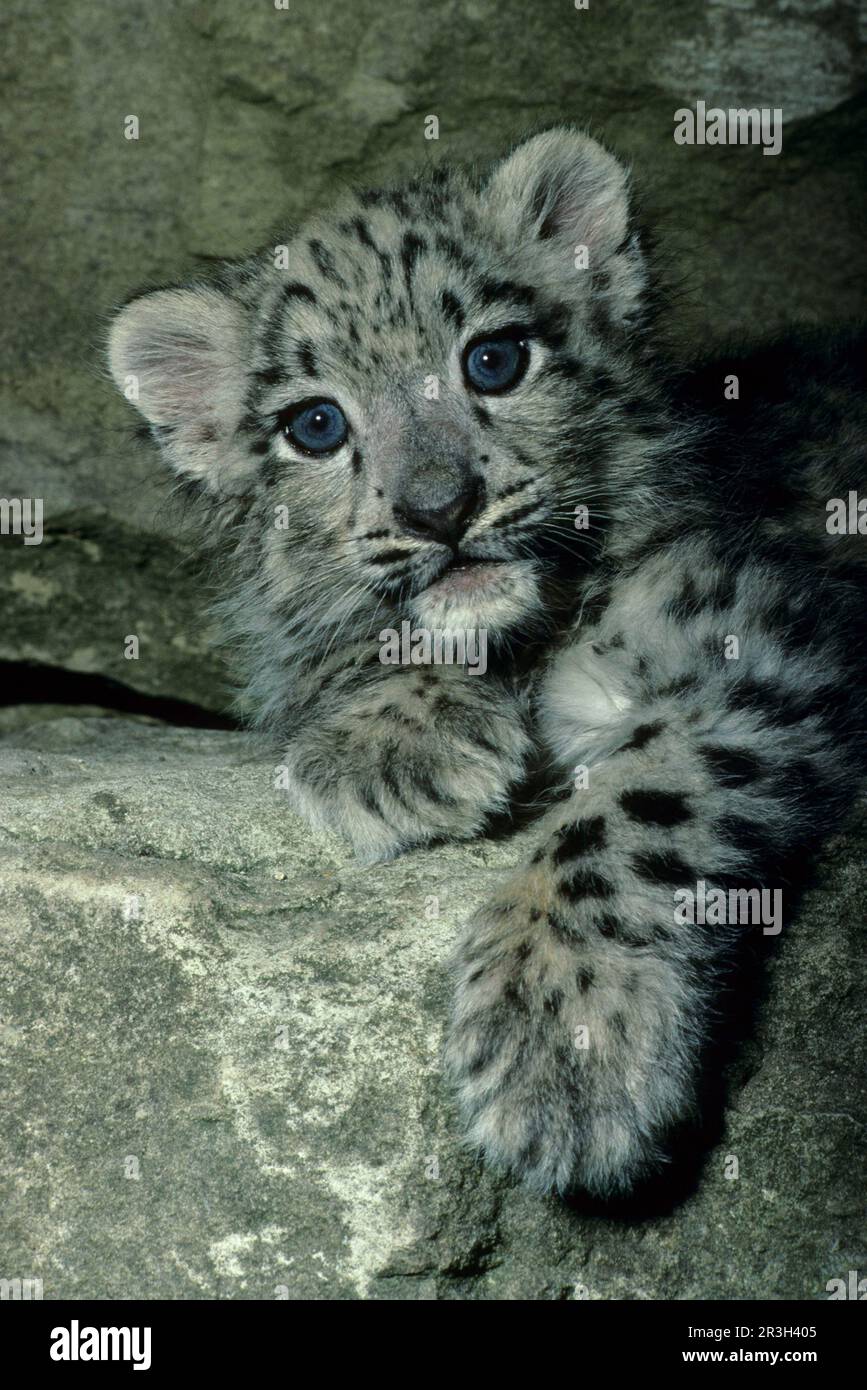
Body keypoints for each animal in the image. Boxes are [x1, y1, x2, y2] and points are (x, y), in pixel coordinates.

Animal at [107, 128, 867, 1198]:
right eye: (314, 424)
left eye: (494, 360)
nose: (438, 508)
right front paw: (398, 747)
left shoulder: (757, 636)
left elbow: (640, 802)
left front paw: (562, 1033)